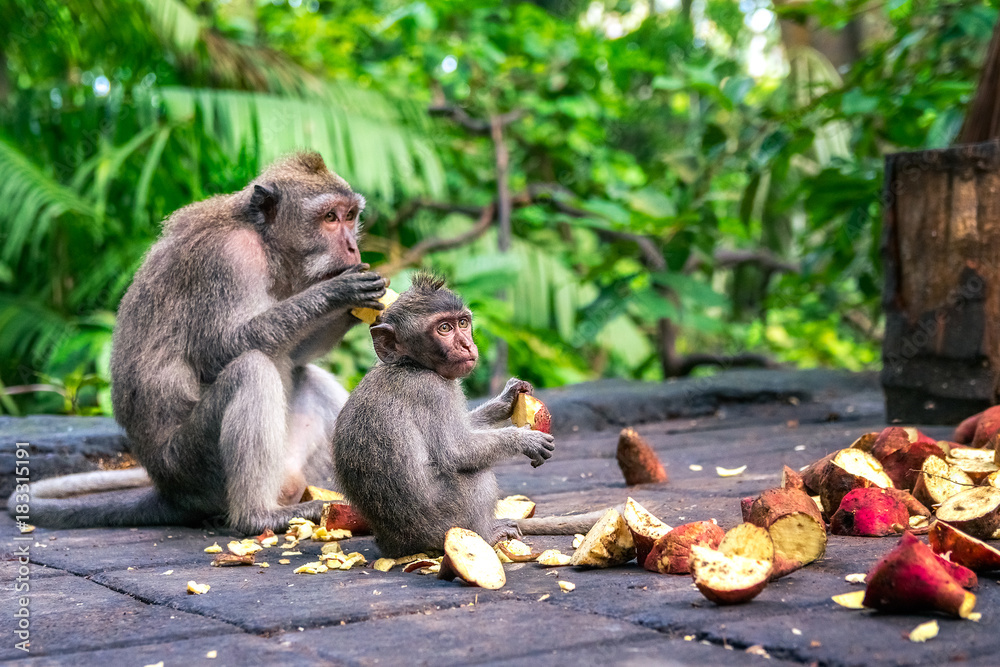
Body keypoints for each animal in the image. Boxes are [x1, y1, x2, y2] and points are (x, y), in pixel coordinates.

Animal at [10, 152, 385, 534]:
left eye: (350, 216)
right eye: (329, 218)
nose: (353, 247)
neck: (265, 242)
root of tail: (170, 490)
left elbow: (294, 354)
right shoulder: (228, 259)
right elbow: (220, 349)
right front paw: (336, 292)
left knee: (308, 376)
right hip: (194, 465)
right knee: (250, 369)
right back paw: (258, 516)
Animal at [332, 274, 556, 557]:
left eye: (463, 323)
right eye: (444, 329)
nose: (467, 344)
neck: (410, 364)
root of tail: (396, 545)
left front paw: (507, 399)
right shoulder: (432, 390)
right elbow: (457, 450)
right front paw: (524, 440)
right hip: (442, 524)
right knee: (475, 472)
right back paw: (486, 534)